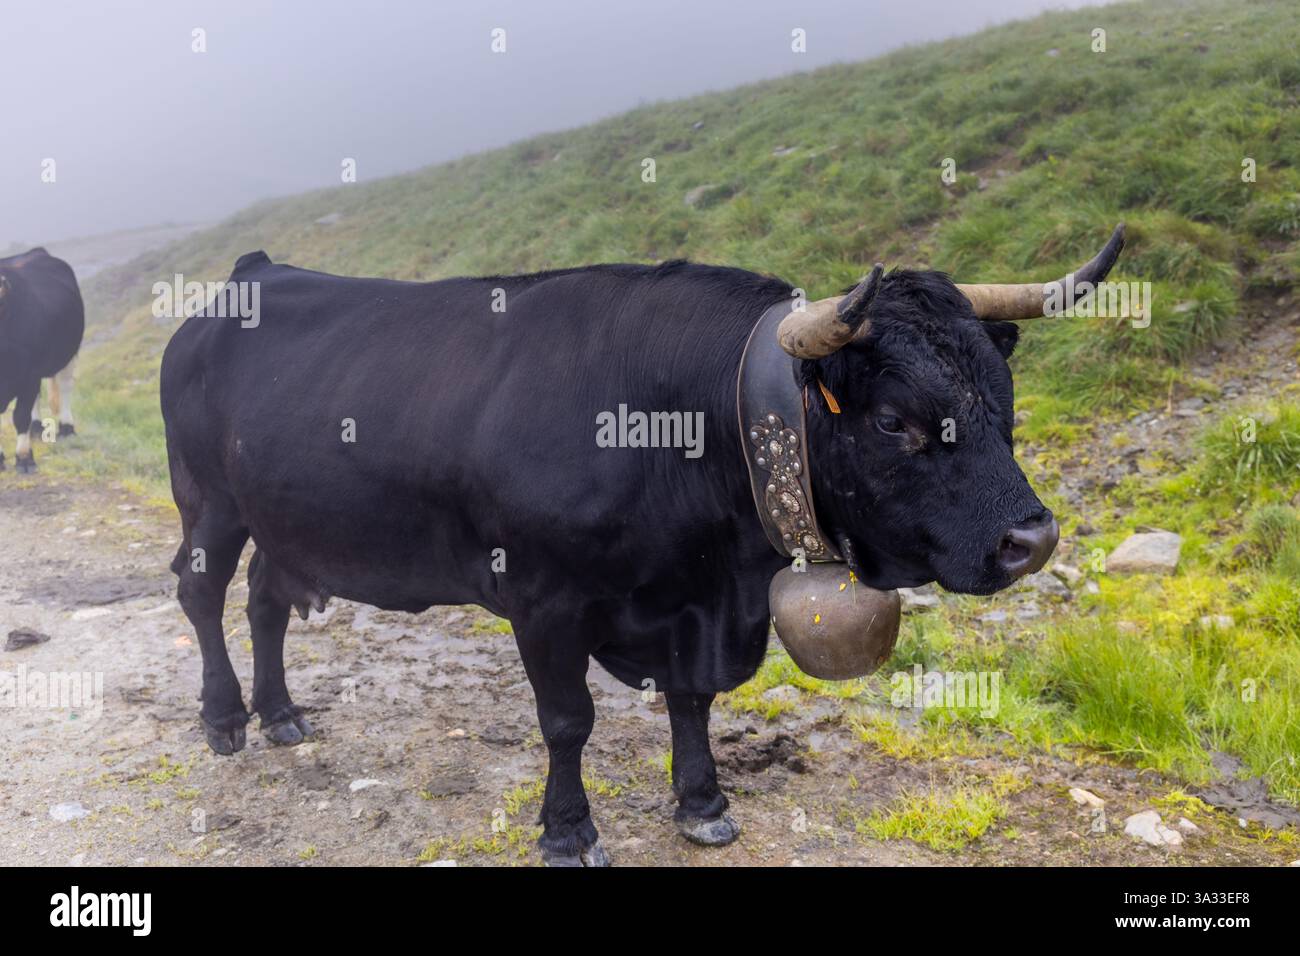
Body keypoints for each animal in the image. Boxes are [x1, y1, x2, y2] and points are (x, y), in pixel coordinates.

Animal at [0, 247, 84, 473]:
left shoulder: (29, 373)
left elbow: (20, 415)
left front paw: (24, 458)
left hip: (69, 352)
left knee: (65, 386)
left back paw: (66, 428)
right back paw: (36, 429)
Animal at [160, 225, 1124, 865]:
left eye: (1003, 394)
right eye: (895, 420)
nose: (1032, 538)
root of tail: (253, 273)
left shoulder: (692, 606)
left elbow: (692, 701)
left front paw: (702, 803)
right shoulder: (544, 601)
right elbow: (567, 720)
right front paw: (568, 830)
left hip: (284, 517)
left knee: (266, 600)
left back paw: (281, 714)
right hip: (207, 502)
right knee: (201, 594)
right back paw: (224, 719)